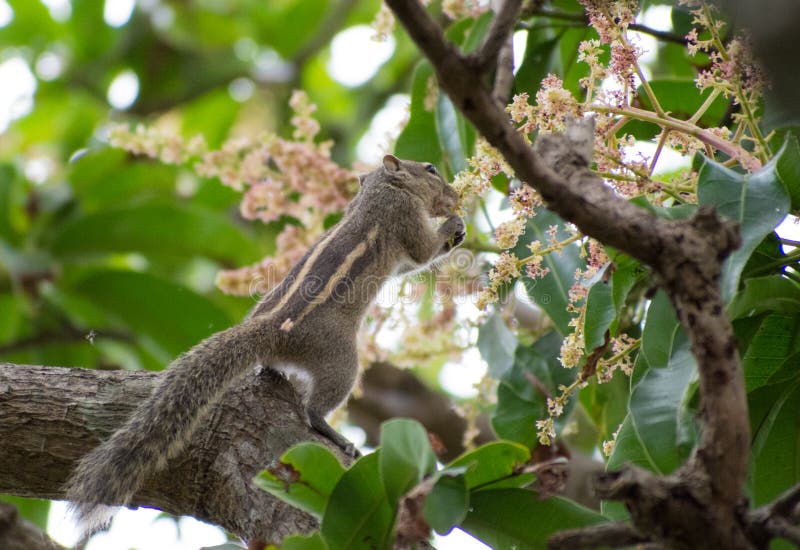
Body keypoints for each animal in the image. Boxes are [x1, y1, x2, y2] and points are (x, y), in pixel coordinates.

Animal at [65, 154, 466, 531]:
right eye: (431, 168)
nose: (457, 195)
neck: (380, 189)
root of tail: (270, 328)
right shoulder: (404, 217)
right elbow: (423, 252)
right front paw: (455, 226)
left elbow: (409, 264)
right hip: (342, 360)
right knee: (313, 409)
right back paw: (336, 435)